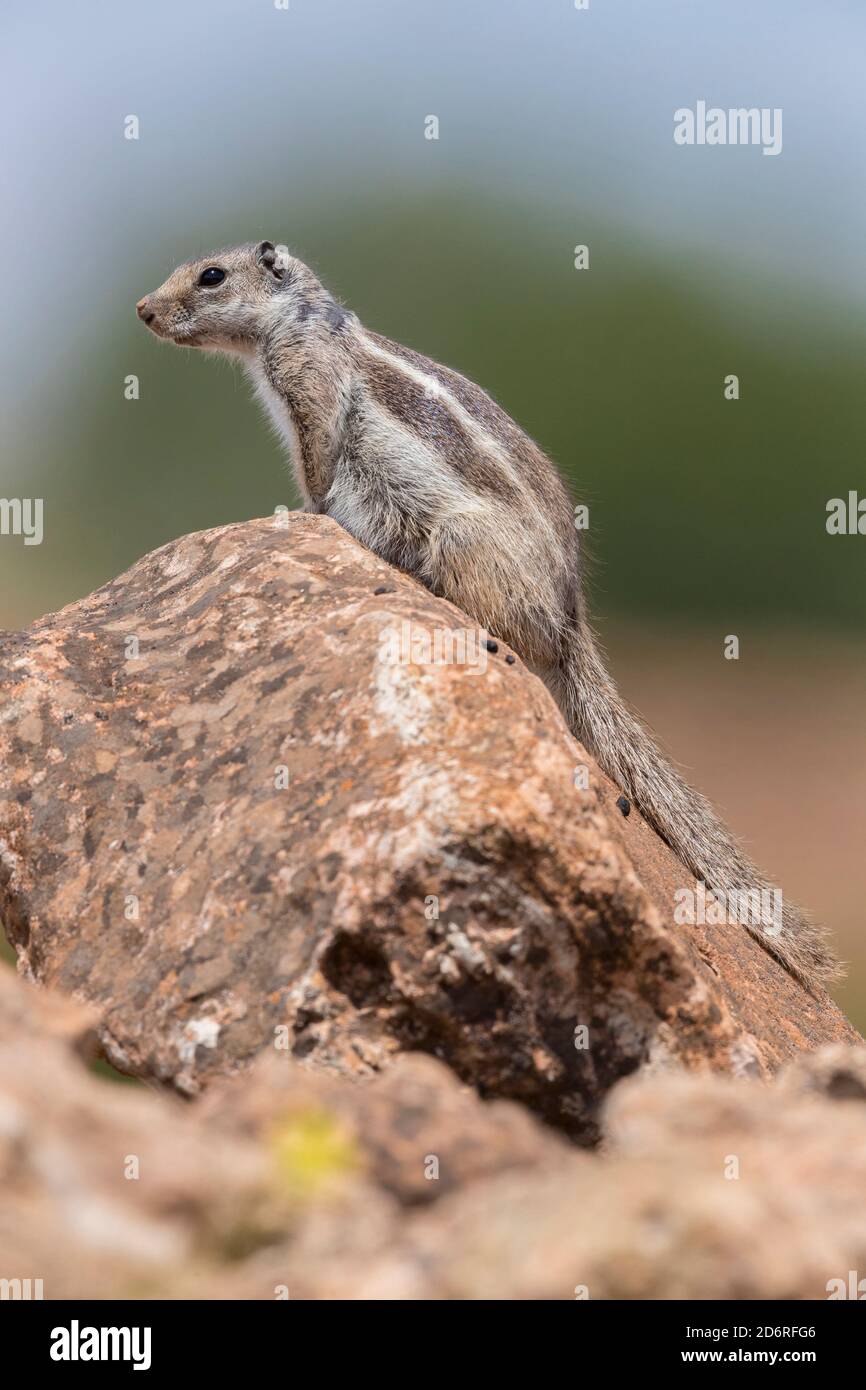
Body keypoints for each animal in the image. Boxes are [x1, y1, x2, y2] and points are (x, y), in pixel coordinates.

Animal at [136, 240, 837, 993]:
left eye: (211, 276)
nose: (143, 310)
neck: (302, 319)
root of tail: (569, 620)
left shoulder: (311, 387)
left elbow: (319, 463)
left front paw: (310, 513)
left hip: (463, 543)